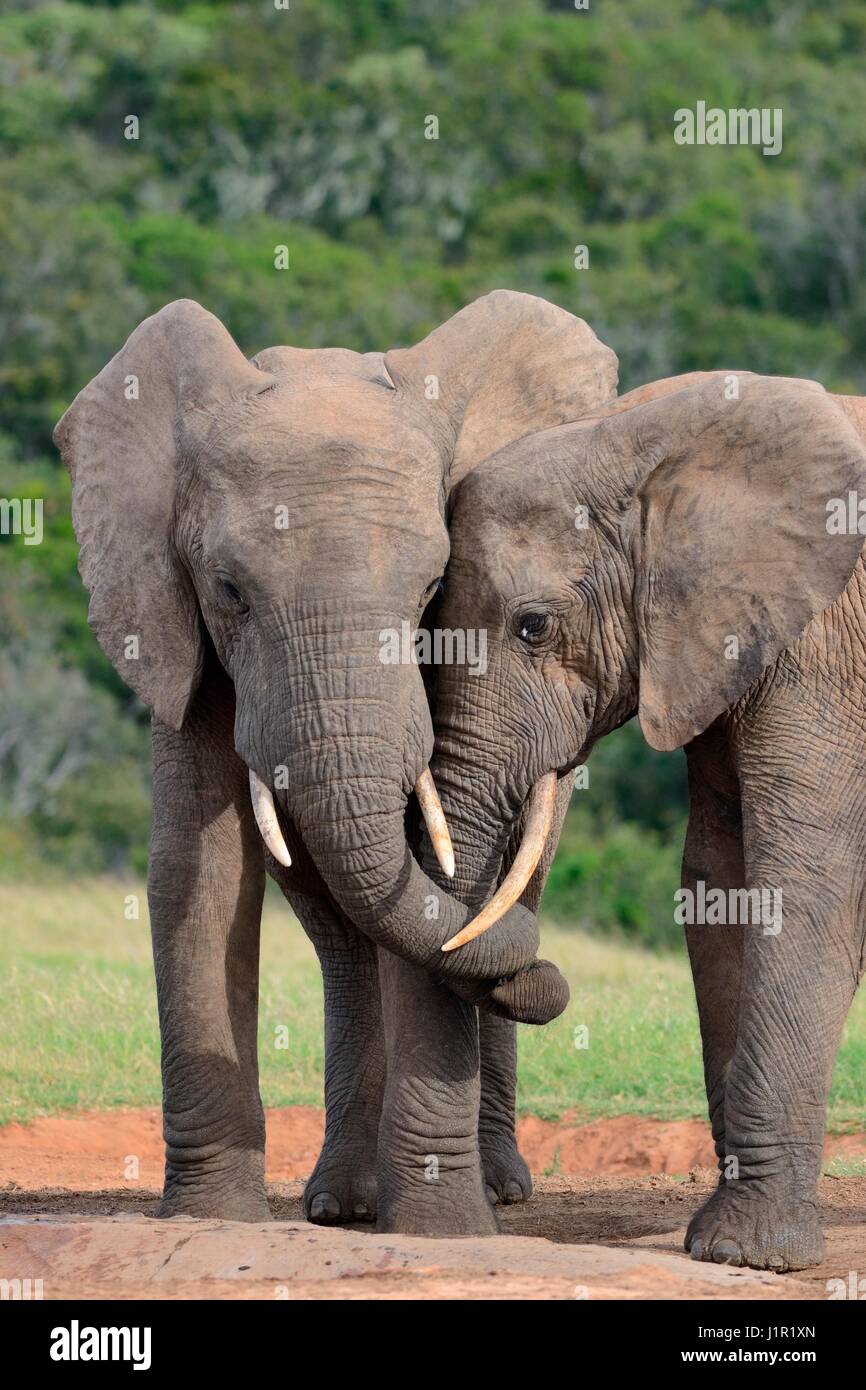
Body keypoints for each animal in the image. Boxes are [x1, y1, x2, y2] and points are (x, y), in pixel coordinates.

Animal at [53, 290, 616, 1234]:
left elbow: (434, 871)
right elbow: (198, 867)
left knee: (510, 880)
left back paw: (496, 1187)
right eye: (229, 591)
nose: (546, 975)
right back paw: (344, 1205)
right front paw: (213, 1223)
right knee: (339, 932)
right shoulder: (176, 627)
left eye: (432, 589)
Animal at [412, 369, 866, 1269]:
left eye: (533, 626)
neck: (646, 436)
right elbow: (721, 884)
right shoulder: (720, 650)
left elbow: (802, 885)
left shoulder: (820, 652)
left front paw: (747, 1255)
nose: (544, 977)